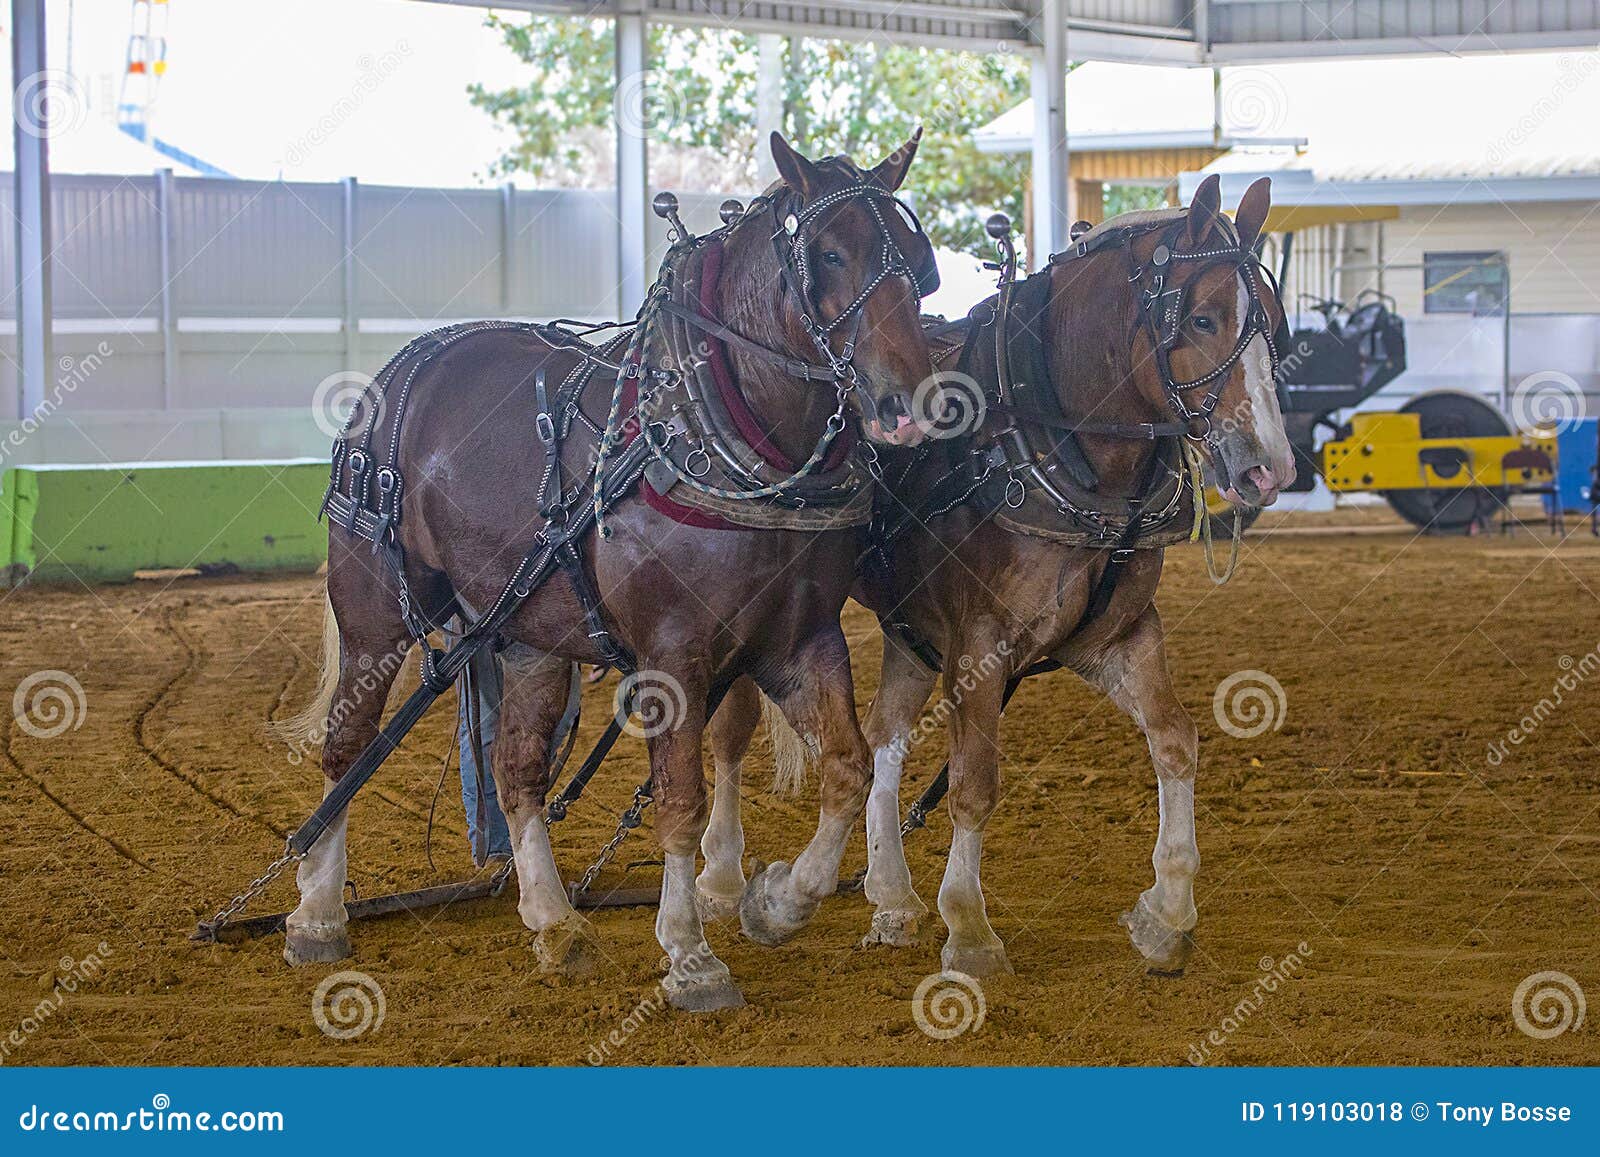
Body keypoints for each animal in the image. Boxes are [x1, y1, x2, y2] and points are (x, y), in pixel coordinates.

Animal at [277, 132, 940, 1011]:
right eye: (830, 252)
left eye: (917, 261)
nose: (908, 402)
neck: (731, 434)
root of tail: (401, 368)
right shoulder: (673, 657)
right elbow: (681, 801)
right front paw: (691, 954)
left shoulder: (799, 640)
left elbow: (847, 767)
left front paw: (779, 901)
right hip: (374, 615)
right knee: (347, 748)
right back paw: (317, 914)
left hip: (527, 634)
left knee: (517, 770)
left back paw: (555, 920)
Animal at [702, 174, 1293, 979]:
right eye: (1202, 318)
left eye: (1275, 325)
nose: (1271, 467)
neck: (1052, 447)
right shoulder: (980, 645)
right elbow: (975, 782)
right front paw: (971, 927)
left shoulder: (1116, 636)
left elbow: (1175, 740)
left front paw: (1166, 913)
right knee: (732, 736)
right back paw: (722, 880)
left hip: (909, 627)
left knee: (884, 738)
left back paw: (891, 896)